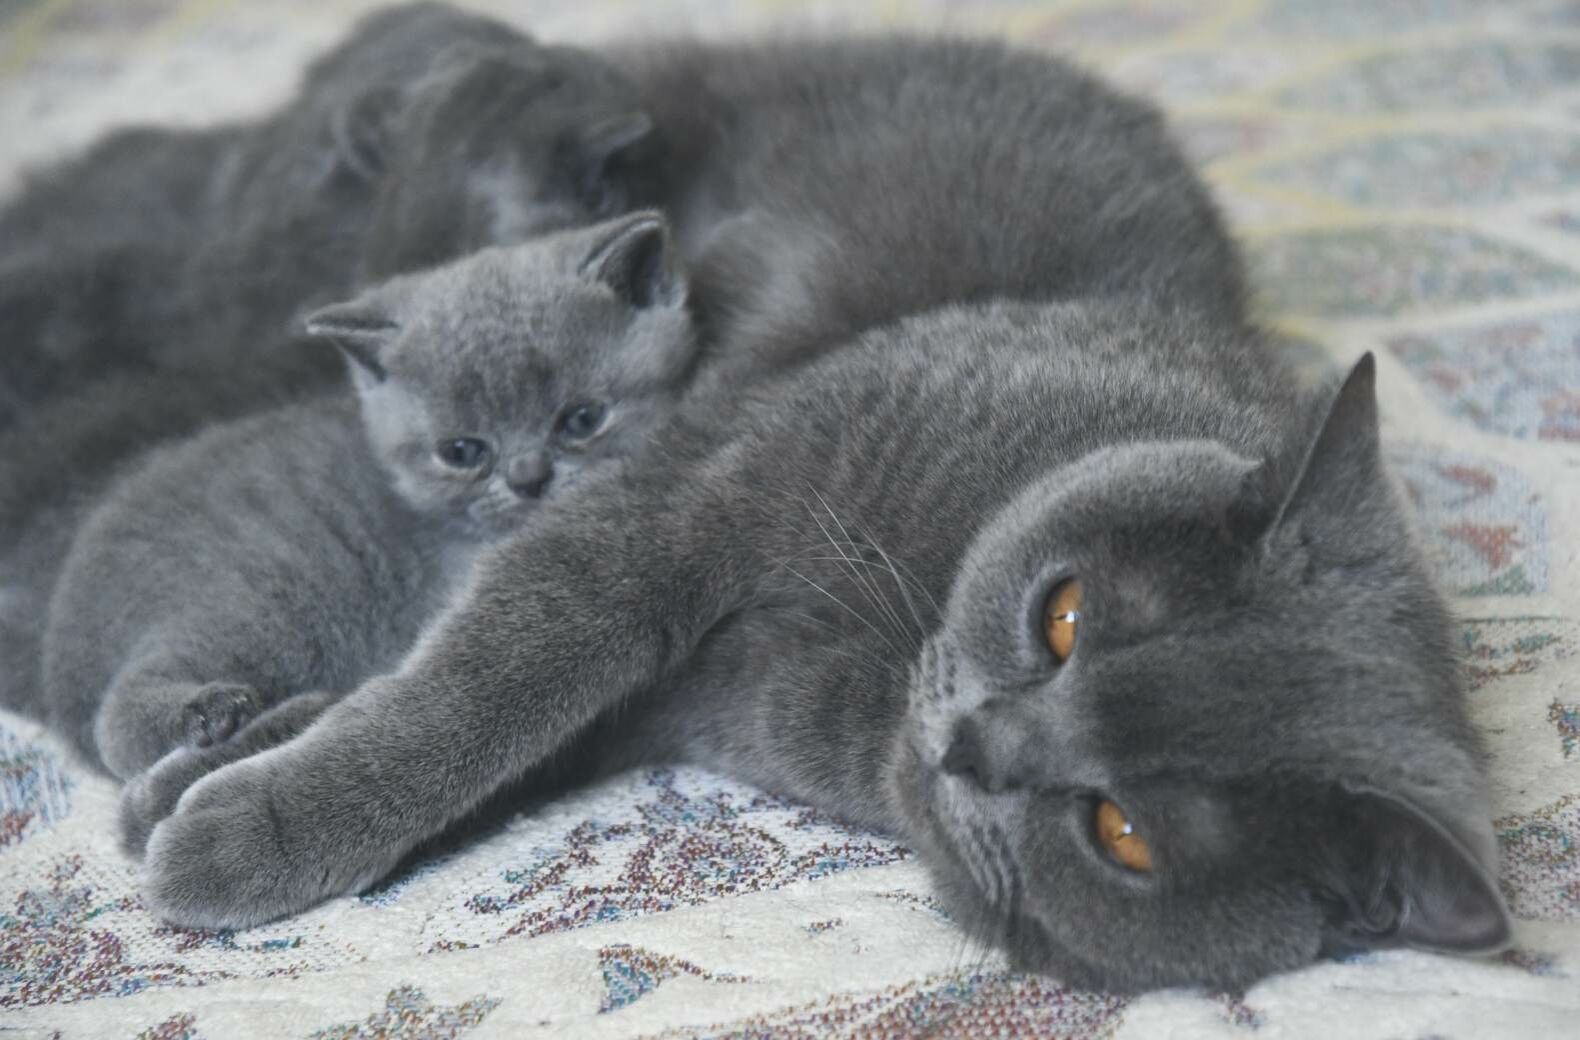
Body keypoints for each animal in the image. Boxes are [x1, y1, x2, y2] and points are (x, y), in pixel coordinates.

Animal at [30, 213, 692, 793]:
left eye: (582, 419)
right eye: (462, 451)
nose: (529, 478)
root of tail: (65, 639)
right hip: (261, 598)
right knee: (117, 715)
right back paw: (209, 710)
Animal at [105, 34, 1497, 986]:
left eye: (1122, 831)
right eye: (1064, 614)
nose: (972, 743)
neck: (877, 659)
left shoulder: (680, 678)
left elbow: (511, 714)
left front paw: (211, 800)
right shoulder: (695, 491)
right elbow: (489, 683)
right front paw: (229, 805)